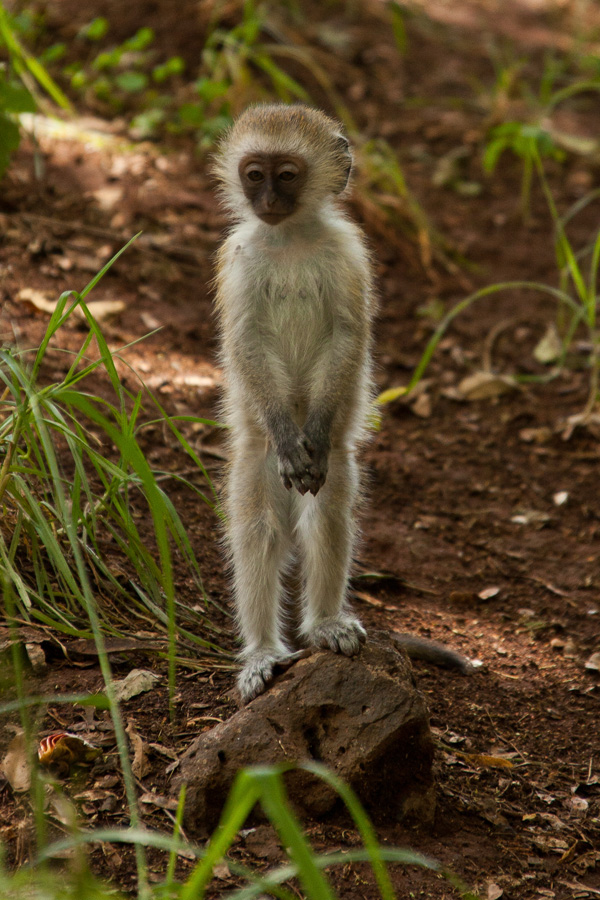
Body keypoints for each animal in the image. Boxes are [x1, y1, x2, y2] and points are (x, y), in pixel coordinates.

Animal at [212, 103, 373, 703]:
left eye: (286, 175)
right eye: (254, 174)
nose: (267, 201)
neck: (290, 239)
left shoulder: (349, 253)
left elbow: (348, 334)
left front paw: (317, 427)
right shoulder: (238, 258)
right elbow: (245, 340)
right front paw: (286, 431)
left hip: (332, 467)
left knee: (326, 510)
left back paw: (325, 624)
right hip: (257, 466)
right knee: (258, 529)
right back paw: (262, 652)